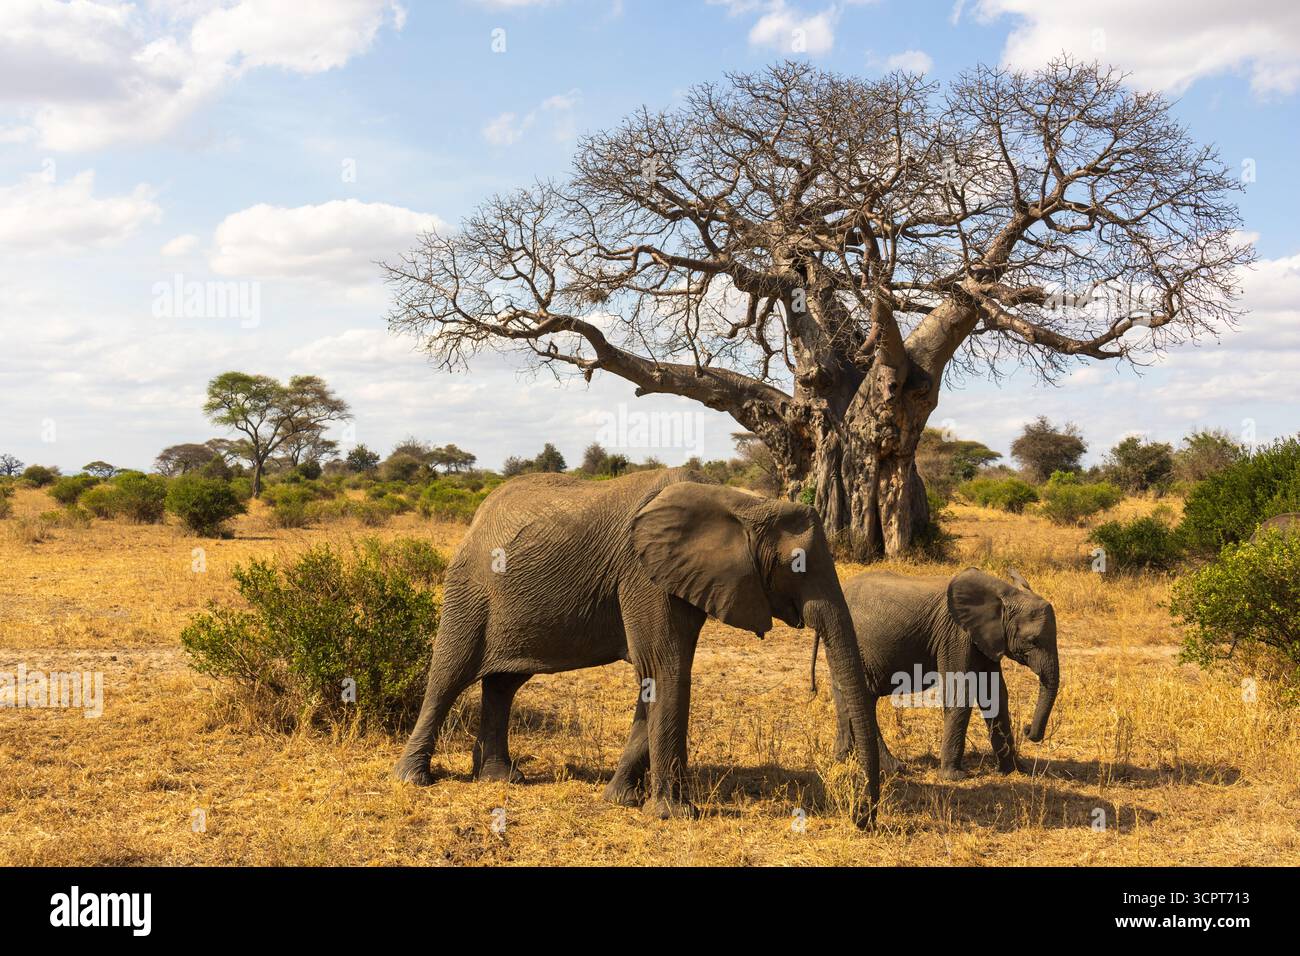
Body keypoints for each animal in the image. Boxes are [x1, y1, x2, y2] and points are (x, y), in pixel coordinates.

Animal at [394, 467, 882, 825]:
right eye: (796, 565)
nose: (861, 817)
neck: (737, 501)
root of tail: (477, 516)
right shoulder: (643, 575)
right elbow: (666, 668)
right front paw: (675, 814)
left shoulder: (680, 578)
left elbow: (658, 673)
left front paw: (621, 800)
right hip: (470, 589)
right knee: (448, 676)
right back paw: (413, 779)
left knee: (503, 683)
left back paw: (501, 779)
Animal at [812, 567, 1058, 781]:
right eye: (1032, 641)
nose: (1028, 730)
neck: (1004, 593)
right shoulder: (956, 634)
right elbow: (961, 693)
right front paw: (954, 777)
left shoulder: (985, 638)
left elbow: (995, 695)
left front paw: (1015, 770)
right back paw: (894, 768)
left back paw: (844, 759)